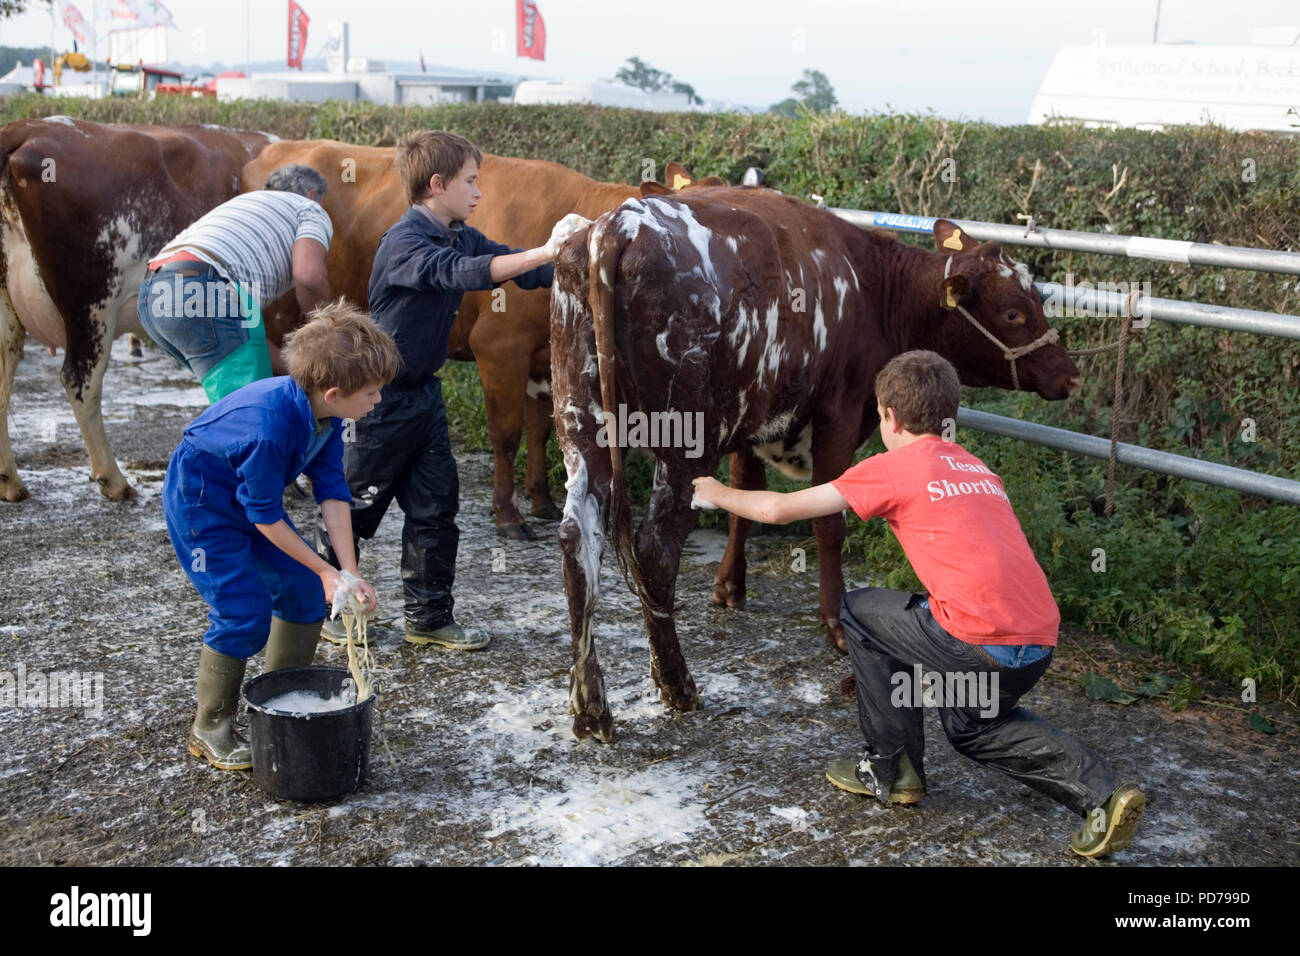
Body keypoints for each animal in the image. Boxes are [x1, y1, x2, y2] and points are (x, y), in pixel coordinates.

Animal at [239, 140, 721, 539]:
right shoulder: (500, 349)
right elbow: (507, 434)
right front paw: (507, 515)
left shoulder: (543, 357)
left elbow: (540, 429)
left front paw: (542, 501)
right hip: (278, 313)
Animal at [550, 188, 1081, 741]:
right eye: (1014, 313)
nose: (1069, 375)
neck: (872, 287)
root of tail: (620, 224)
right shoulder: (838, 416)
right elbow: (829, 522)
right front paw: (833, 621)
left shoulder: (752, 421)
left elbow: (745, 496)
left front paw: (730, 585)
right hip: (683, 443)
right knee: (654, 550)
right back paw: (676, 685)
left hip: (581, 426)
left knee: (577, 539)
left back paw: (590, 706)